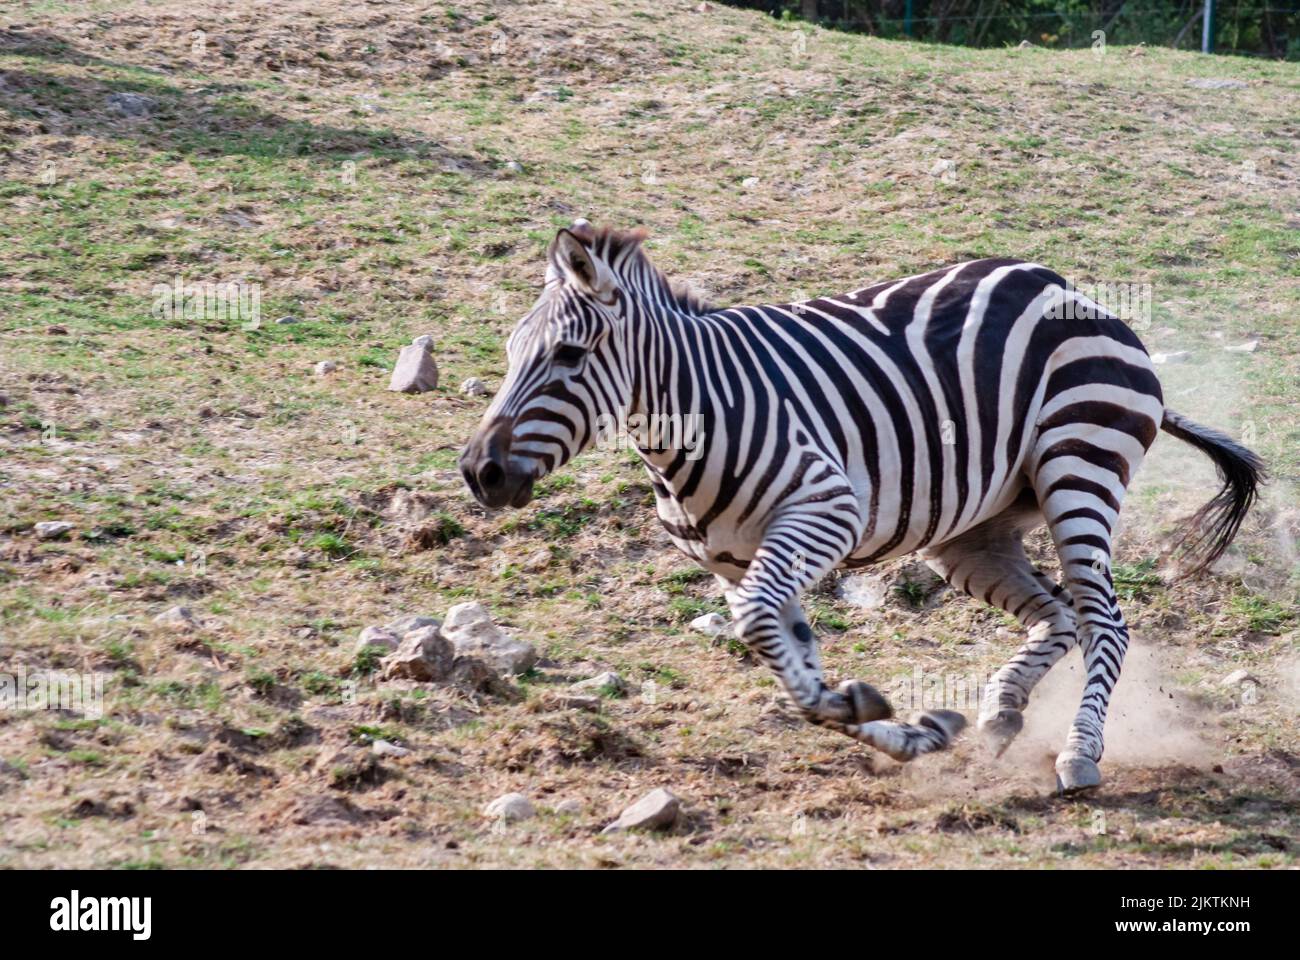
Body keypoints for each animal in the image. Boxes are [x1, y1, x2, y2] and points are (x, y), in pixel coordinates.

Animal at [459, 220, 1264, 792]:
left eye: (568, 356)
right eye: (511, 352)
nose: (478, 473)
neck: (699, 408)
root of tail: (1079, 294)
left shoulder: (823, 513)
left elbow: (768, 637)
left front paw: (875, 715)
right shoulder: (736, 563)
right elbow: (794, 663)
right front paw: (898, 725)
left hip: (1080, 469)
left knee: (1104, 620)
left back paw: (1079, 753)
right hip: (972, 531)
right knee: (1058, 615)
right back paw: (1001, 713)